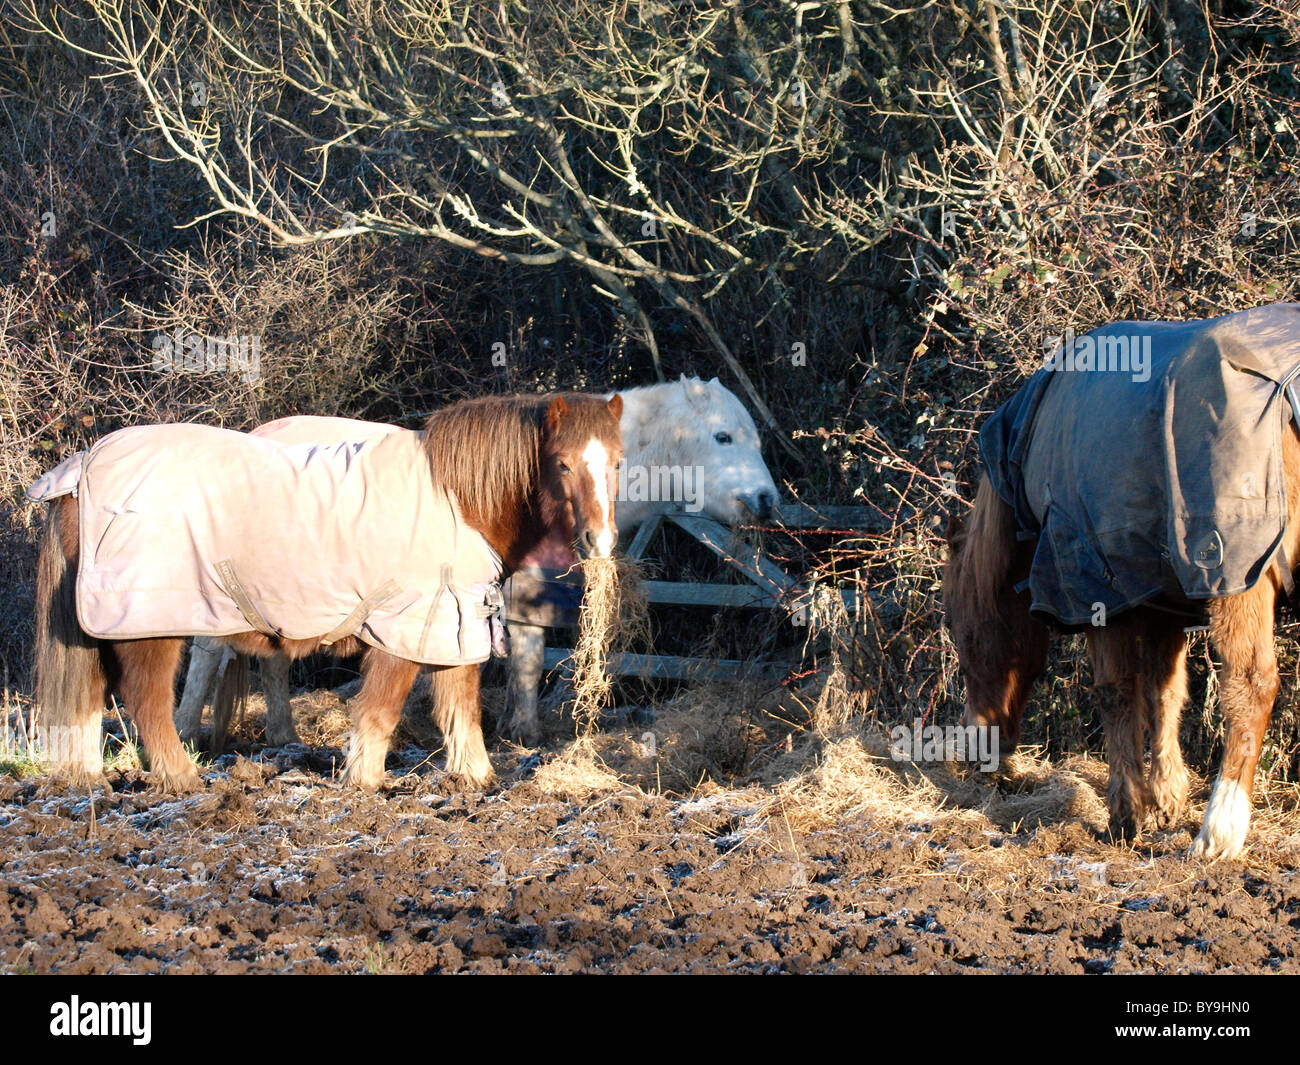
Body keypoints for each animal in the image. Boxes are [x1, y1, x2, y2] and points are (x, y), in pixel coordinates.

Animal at [32, 392, 623, 792]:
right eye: (562, 462)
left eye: (617, 462)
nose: (600, 540)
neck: (457, 499)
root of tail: (81, 472)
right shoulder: (406, 627)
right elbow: (382, 710)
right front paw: (365, 781)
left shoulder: (452, 621)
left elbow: (461, 706)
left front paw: (475, 779)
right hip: (150, 624)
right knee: (147, 700)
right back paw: (182, 778)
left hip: (99, 628)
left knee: (90, 699)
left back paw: (89, 777)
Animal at [178, 375, 780, 748]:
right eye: (723, 437)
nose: (768, 500)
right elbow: (526, 663)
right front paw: (520, 734)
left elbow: (524, 665)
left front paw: (519, 730)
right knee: (207, 653)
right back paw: (185, 734)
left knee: (272, 657)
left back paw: (284, 738)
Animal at [944, 306, 1300, 860]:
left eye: (962, 633)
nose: (978, 754)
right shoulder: (1159, 598)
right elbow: (1165, 692)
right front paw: (1166, 796)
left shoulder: (1095, 592)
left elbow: (1116, 693)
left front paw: (1127, 812)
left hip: (1240, 580)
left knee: (1250, 684)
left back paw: (1220, 830)